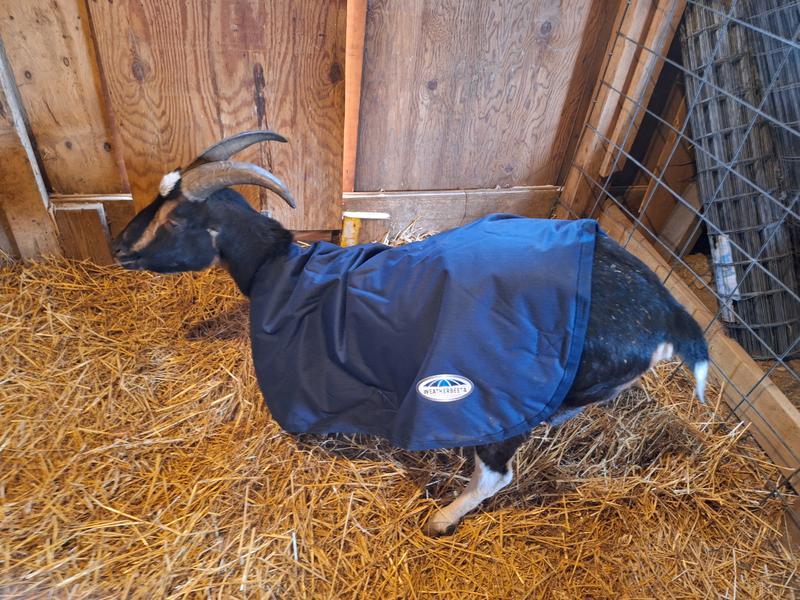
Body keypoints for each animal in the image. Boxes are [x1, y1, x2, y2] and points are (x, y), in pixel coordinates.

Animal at [114, 131, 709, 536]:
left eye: (175, 220)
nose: (119, 246)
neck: (283, 268)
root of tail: (668, 316)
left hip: (502, 396)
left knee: (497, 473)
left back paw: (441, 519)